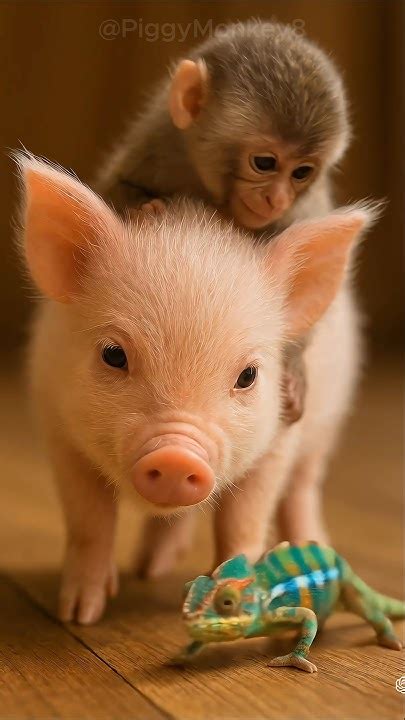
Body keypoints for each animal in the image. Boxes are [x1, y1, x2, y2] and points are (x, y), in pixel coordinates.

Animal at [17, 154, 371, 625]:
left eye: (248, 375)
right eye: (113, 354)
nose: (175, 456)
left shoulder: (278, 443)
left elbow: (243, 522)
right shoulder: (58, 429)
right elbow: (89, 521)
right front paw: (79, 616)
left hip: (324, 429)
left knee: (301, 490)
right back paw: (148, 569)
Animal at [95, 20, 350, 425]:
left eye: (302, 172)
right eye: (265, 162)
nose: (277, 199)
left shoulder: (304, 209)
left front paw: (292, 366)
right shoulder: (160, 142)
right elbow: (114, 186)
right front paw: (142, 208)